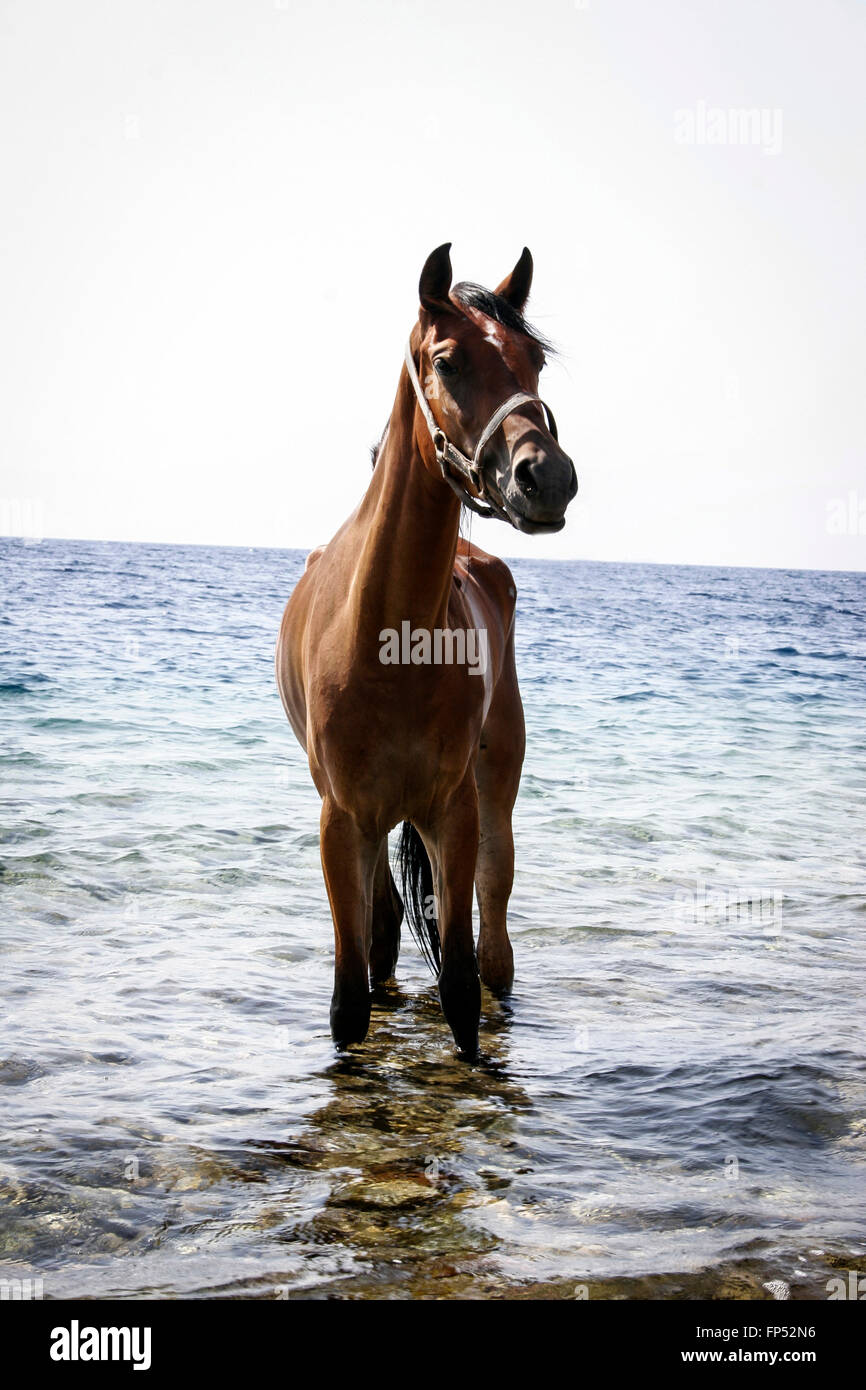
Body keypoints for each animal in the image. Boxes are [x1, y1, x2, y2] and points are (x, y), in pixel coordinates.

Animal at [276, 243, 577, 1059]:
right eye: (446, 361)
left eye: (535, 361)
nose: (547, 477)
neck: (389, 637)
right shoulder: (343, 820)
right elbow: (351, 999)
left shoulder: (454, 810)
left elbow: (462, 991)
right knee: (383, 938)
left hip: (492, 796)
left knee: (495, 949)